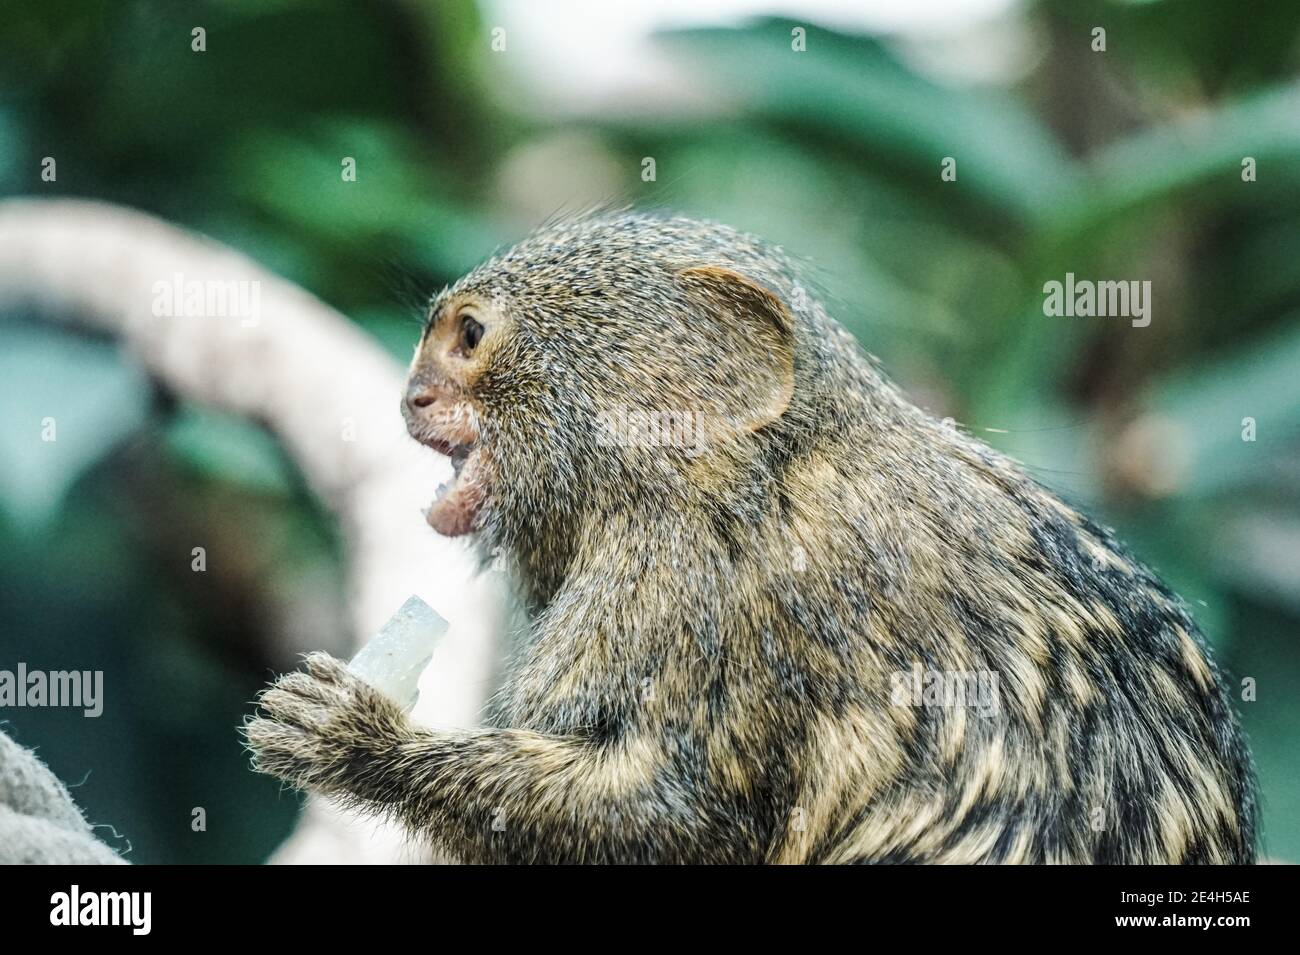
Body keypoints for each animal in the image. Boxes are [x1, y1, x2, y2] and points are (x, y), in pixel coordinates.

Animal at [245, 212, 1256, 864]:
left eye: (468, 337)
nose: (411, 397)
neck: (728, 473)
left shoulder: (690, 587)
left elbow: (676, 818)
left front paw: (365, 746)